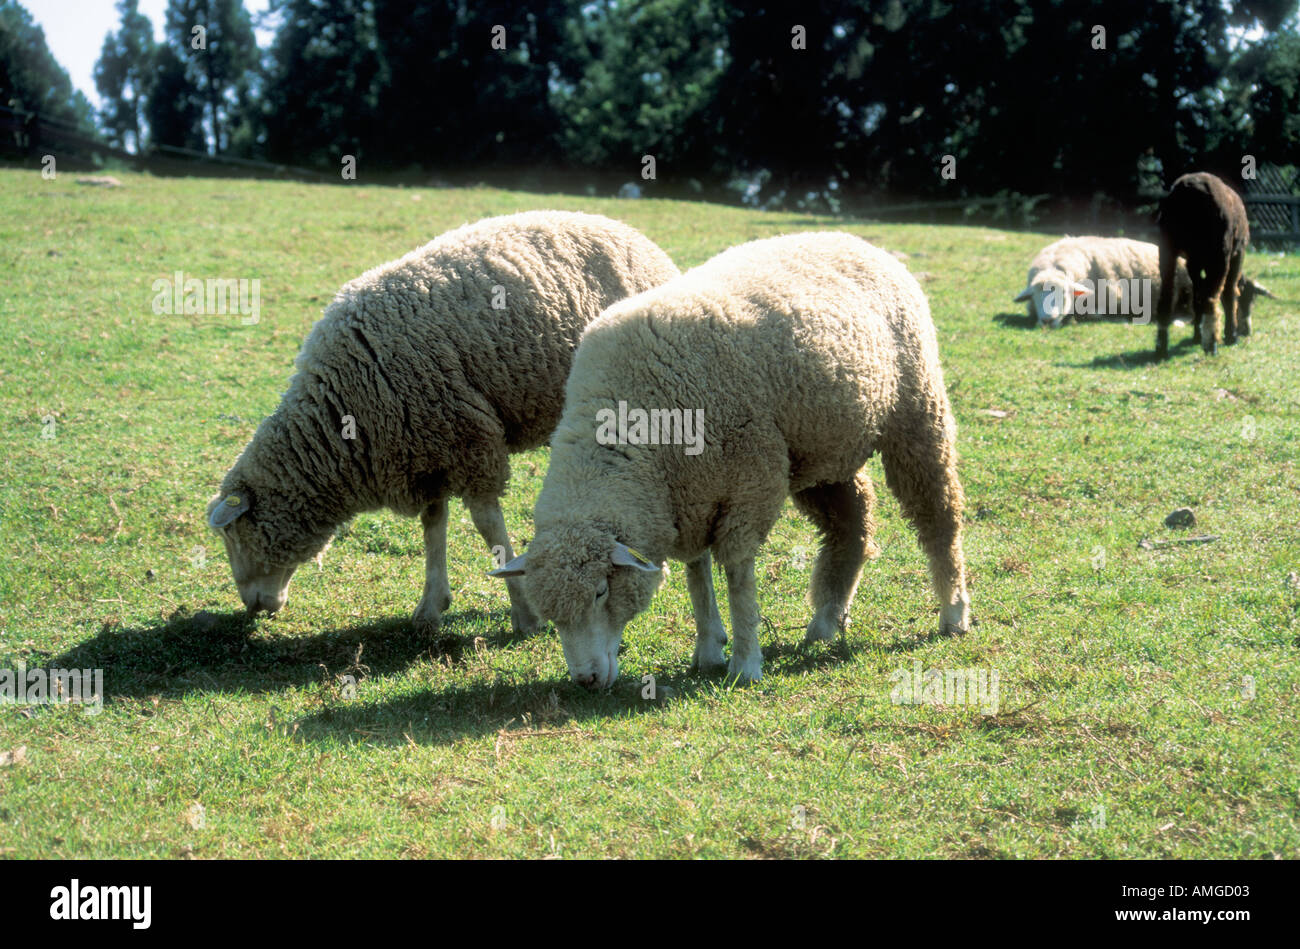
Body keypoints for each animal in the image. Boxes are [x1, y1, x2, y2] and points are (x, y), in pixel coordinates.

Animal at [206, 211, 680, 635]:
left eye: (235, 537)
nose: (254, 607)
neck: (345, 415)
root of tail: (632, 234)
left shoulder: (470, 441)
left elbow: (489, 528)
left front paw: (525, 615)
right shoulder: (426, 450)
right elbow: (433, 526)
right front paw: (432, 605)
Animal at [490, 231, 970, 688]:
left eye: (601, 593)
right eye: (551, 615)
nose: (586, 681)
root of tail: (857, 241)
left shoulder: (749, 483)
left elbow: (738, 575)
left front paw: (745, 661)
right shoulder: (687, 496)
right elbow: (696, 572)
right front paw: (708, 648)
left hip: (915, 412)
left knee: (939, 517)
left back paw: (953, 613)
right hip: (822, 447)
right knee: (851, 525)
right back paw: (825, 623)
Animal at [1155, 172, 1254, 358]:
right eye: (1248, 298)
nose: (1247, 331)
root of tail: (1190, 189)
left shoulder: (1193, 262)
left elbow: (1197, 296)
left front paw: (1197, 335)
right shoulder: (1237, 255)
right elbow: (1229, 293)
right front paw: (1231, 336)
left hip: (1167, 247)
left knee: (1167, 297)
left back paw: (1161, 347)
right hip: (1220, 253)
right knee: (1212, 298)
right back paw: (1212, 344)